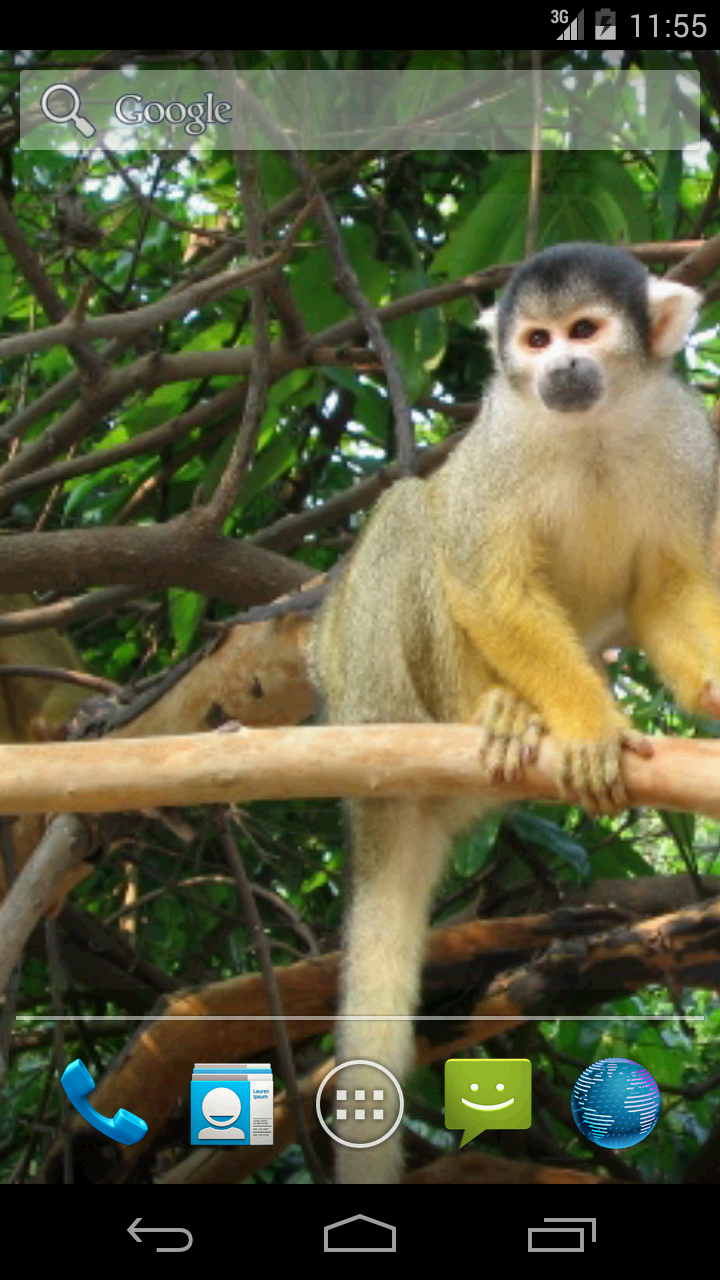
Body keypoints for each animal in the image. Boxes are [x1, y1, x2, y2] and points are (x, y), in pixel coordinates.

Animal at [310, 241, 720, 1184]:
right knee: (413, 515)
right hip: (362, 687)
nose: (558, 367)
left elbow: (668, 588)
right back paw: (489, 713)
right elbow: (483, 579)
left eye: (585, 330)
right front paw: (590, 727)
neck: (593, 428)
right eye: (535, 339)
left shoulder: (688, 443)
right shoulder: (499, 436)